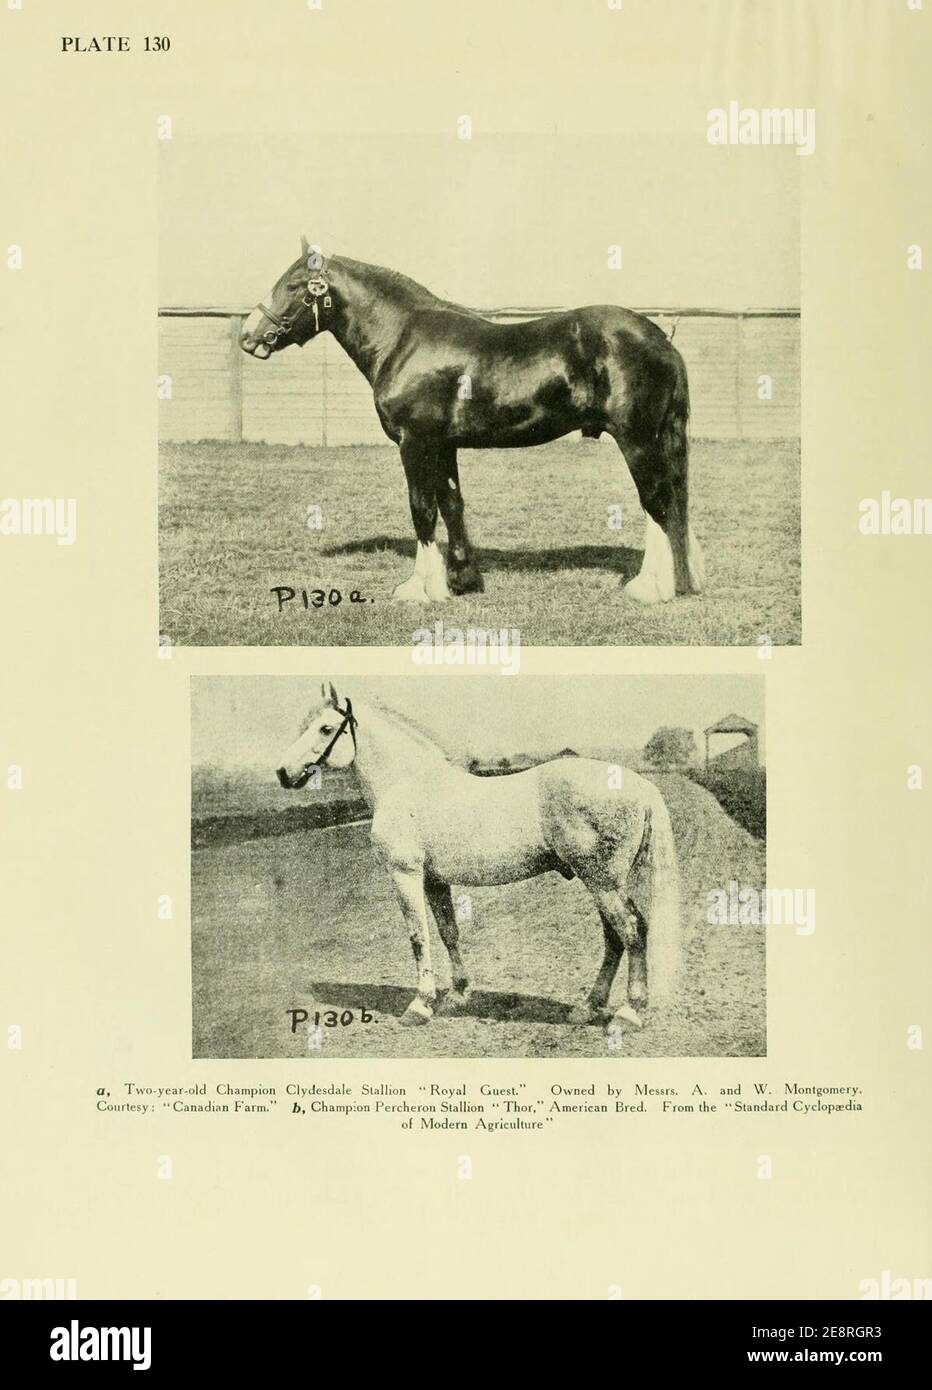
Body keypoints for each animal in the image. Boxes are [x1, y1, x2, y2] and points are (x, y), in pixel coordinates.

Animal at [241, 239, 706, 606]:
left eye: (294, 286)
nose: (248, 336)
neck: (403, 339)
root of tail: (660, 338)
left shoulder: (415, 442)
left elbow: (422, 509)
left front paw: (419, 589)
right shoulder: (443, 444)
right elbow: (452, 505)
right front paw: (462, 581)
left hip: (637, 439)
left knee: (657, 502)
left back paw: (650, 587)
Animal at [275, 683, 682, 1029]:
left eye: (326, 729)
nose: (282, 772)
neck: (407, 783)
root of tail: (640, 784)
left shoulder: (405, 874)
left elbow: (418, 937)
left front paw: (419, 1006)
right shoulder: (434, 880)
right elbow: (448, 933)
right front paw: (456, 995)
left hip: (602, 881)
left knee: (631, 932)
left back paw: (628, 1013)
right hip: (601, 882)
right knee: (616, 937)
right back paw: (587, 1007)